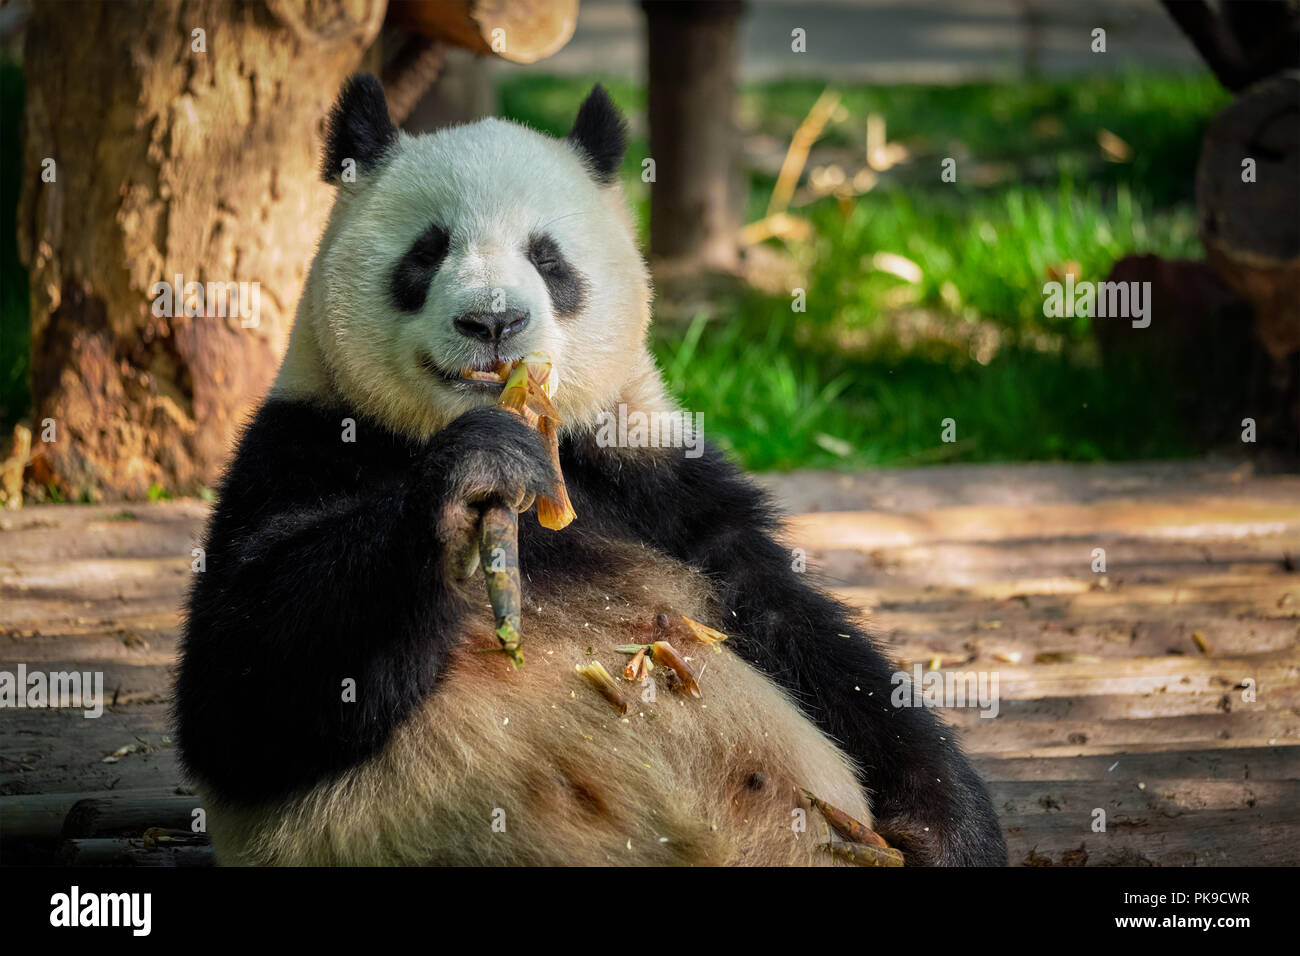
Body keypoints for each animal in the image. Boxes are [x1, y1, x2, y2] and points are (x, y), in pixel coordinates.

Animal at [174, 75, 1007, 867]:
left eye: (548, 259)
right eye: (426, 252)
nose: (494, 321)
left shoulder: (656, 483)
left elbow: (800, 634)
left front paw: (949, 827)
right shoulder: (301, 449)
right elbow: (240, 690)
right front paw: (474, 473)